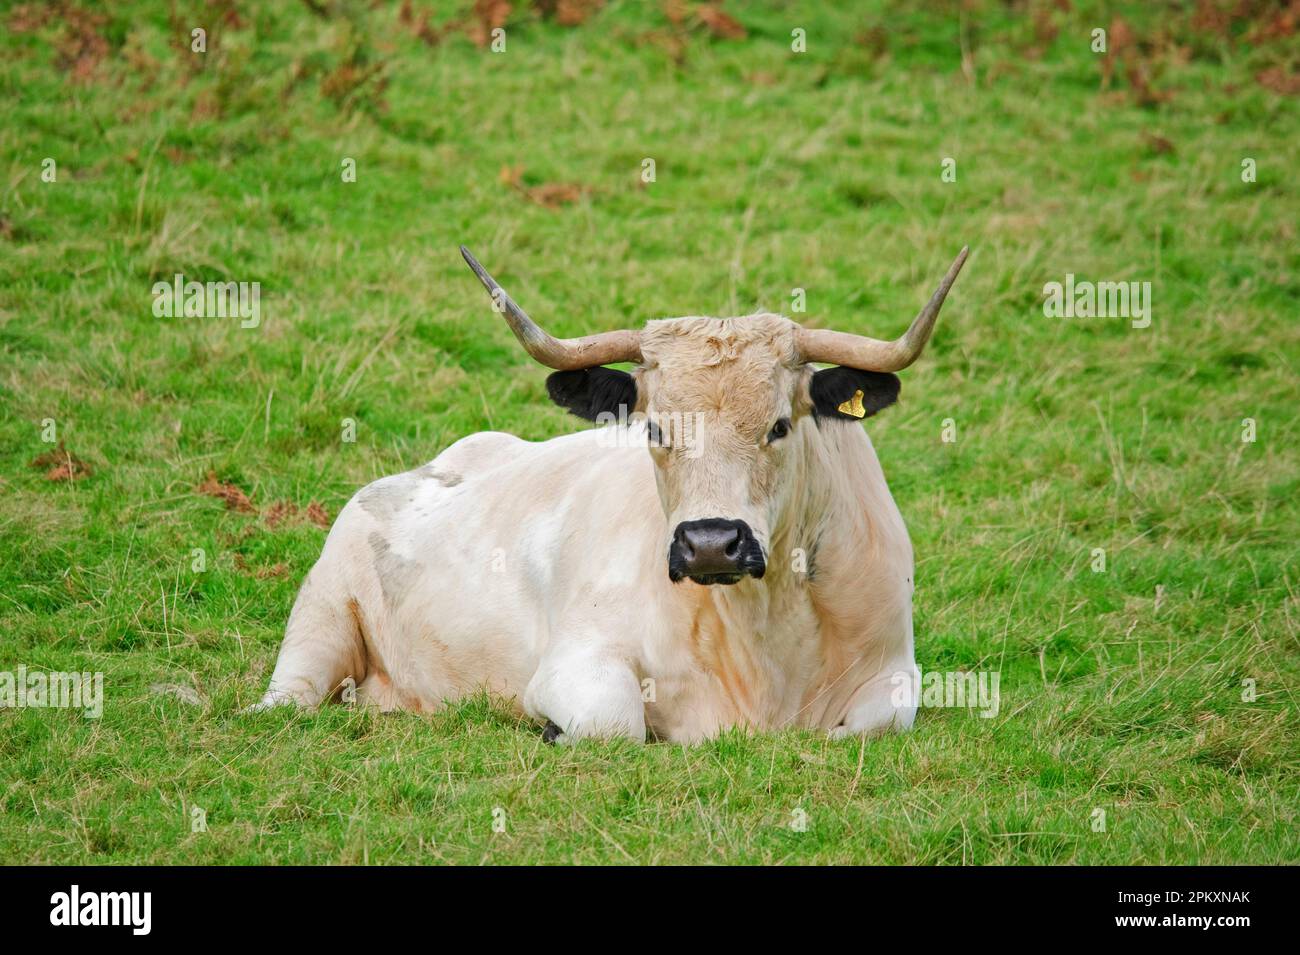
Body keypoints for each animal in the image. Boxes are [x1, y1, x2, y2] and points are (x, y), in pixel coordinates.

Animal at [253, 244, 969, 743]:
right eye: (654, 428)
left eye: (779, 426)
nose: (712, 544)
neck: (764, 626)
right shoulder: (575, 661)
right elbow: (612, 722)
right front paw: (550, 729)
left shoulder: (896, 672)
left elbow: (871, 725)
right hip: (320, 618)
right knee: (288, 697)